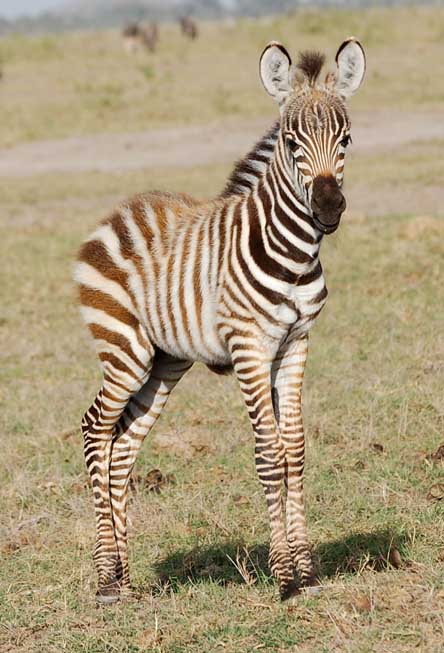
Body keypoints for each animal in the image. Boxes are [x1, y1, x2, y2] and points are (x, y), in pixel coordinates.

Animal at [74, 37, 366, 603]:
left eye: (345, 139)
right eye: (292, 142)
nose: (328, 208)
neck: (294, 256)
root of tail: (120, 210)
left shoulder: (296, 345)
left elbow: (295, 449)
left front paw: (308, 573)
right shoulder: (250, 347)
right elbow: (269, 452)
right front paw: (284, 578)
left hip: (165, 362)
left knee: (124, 447)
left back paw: (125, 578)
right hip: (124, 349)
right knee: (96, 430)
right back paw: (104, 579)